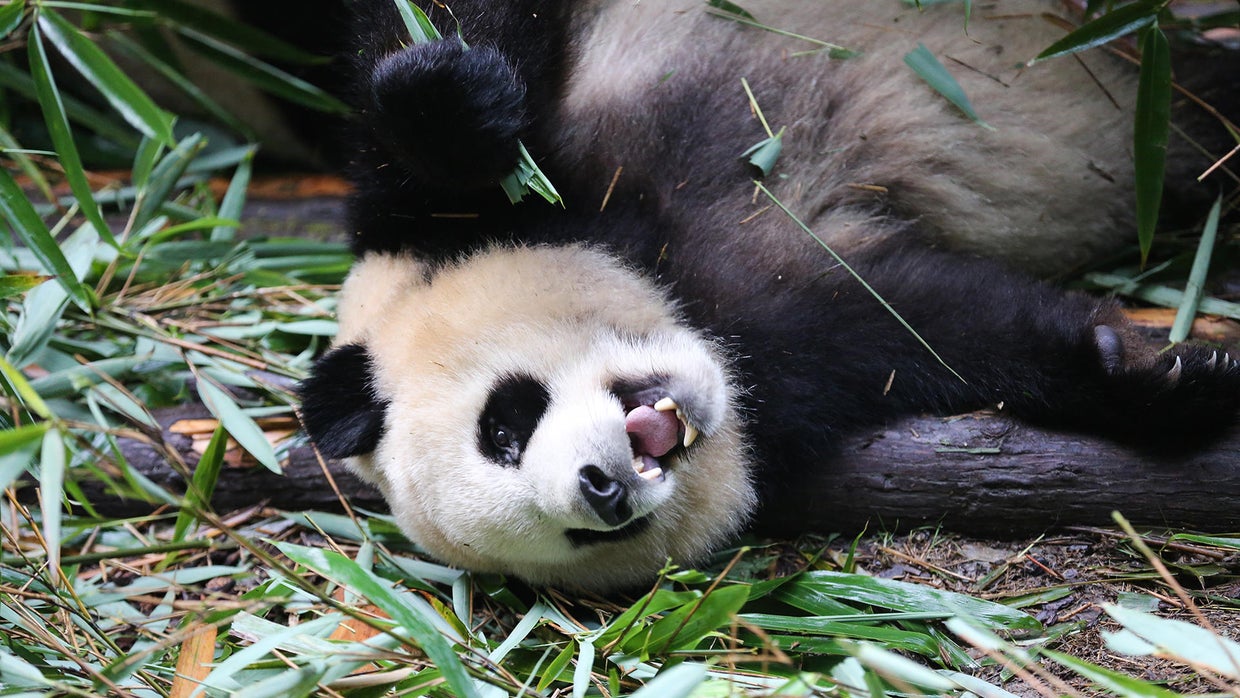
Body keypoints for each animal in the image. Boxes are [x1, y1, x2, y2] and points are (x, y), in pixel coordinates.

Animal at [298, 0, 1240, 592]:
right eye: (577, 537)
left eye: (505, 425)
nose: (601, 490)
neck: (679, 297)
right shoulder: (797, 343)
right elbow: (938, 324)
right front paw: (1152, 377)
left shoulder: (538, 197)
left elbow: (443, 82)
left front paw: (443, 97)